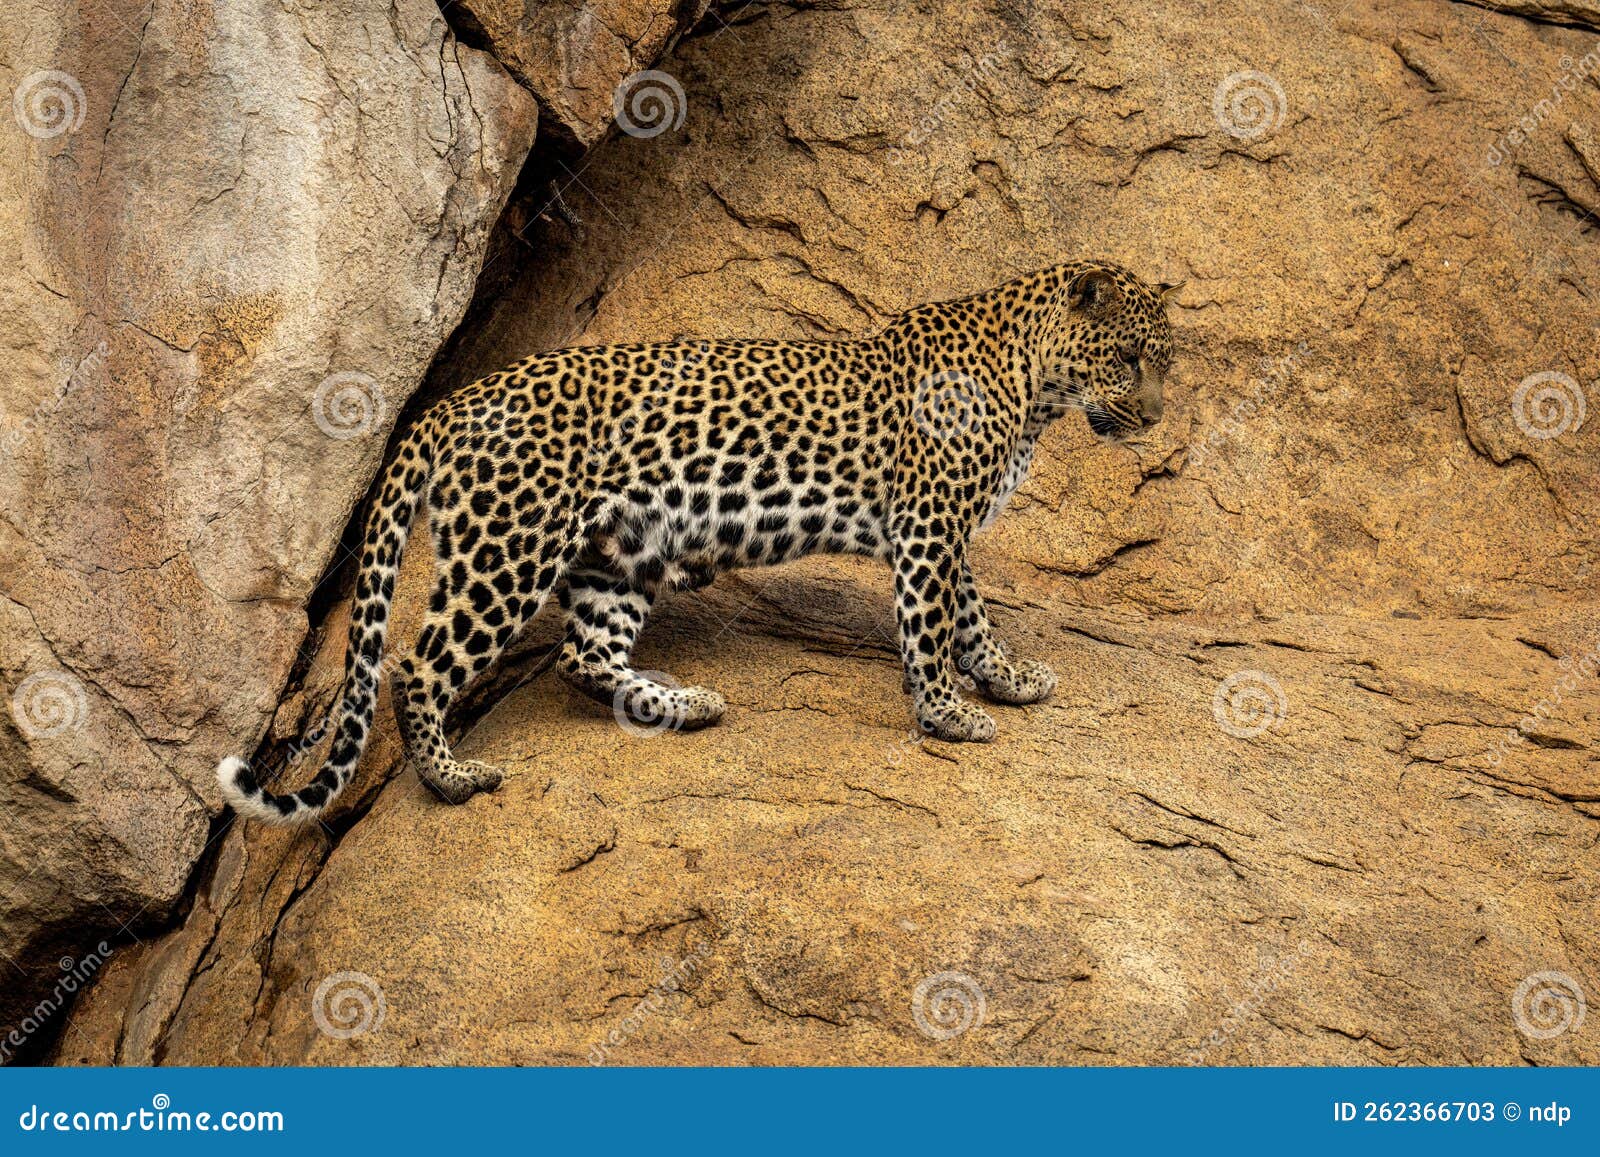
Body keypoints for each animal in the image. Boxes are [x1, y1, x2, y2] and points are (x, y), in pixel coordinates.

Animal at [218, 260, 1176, 824]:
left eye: (1164, 360)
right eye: (1131, 358)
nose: (1156, 415)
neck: (1034, 384)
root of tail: (448, 404)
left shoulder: (942, 529)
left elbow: (972, 615)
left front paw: (1008, 677)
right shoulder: (931, 522)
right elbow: (933, 626)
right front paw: (948, 713)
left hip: (619, 554)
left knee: (579, 655)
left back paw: (682, 703)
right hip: (510, 550)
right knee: (418, 667)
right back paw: (452, 779)